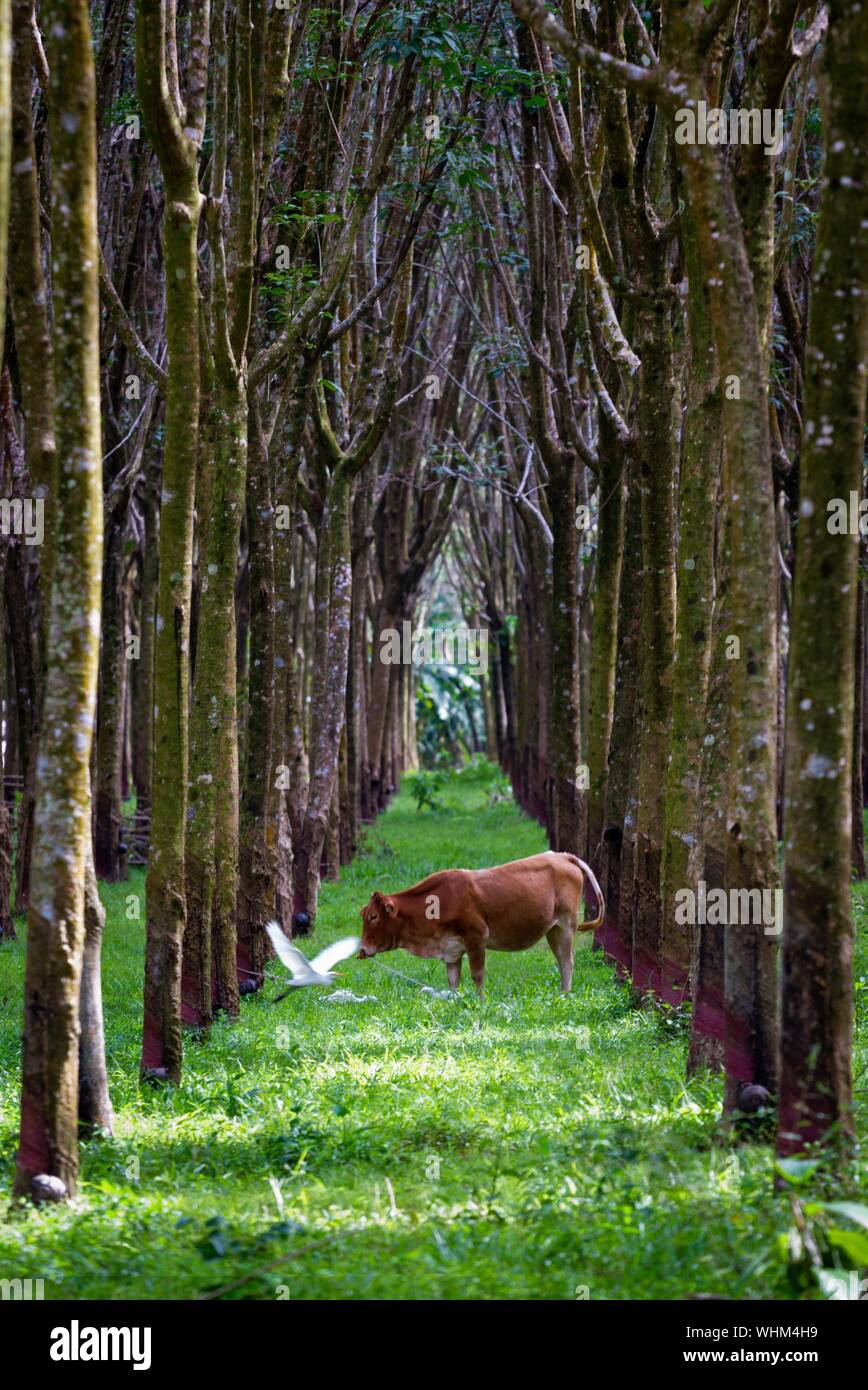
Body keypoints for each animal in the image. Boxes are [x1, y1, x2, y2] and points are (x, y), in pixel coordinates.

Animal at [357, 850, 605, 995]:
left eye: (373, 917)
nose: (362, 949)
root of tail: (562, 855)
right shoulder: (451, 950)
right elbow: (453, 981)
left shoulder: (476, 938)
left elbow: (477, 975)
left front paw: (480, 1000)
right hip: (552, 929)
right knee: (561, 959)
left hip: (566, 925)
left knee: (567, 960)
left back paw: (565, 995)